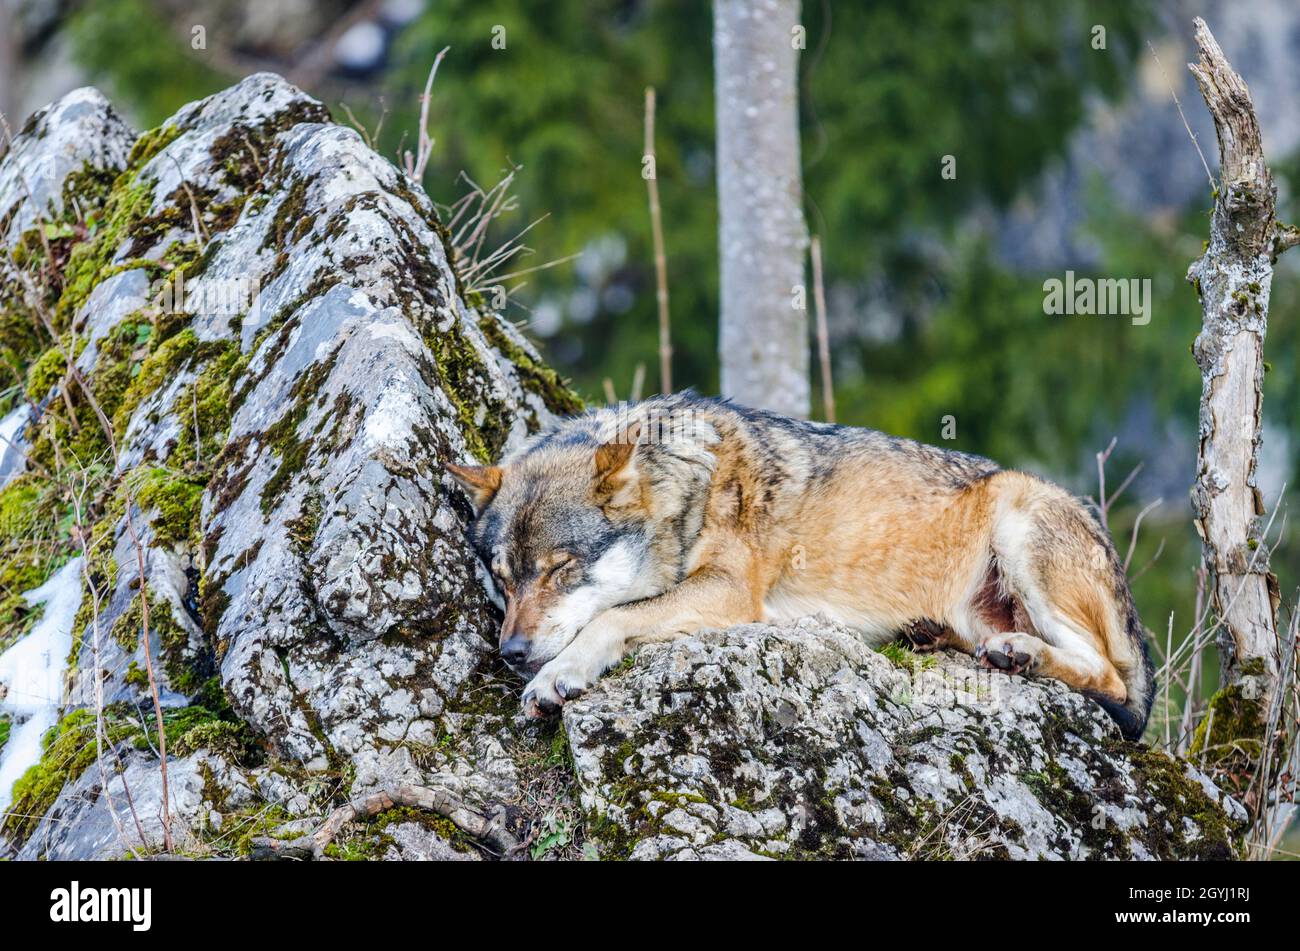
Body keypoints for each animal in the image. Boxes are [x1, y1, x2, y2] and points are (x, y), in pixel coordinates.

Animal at [449, 394, 1155, 740]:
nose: (510, 652)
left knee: (1111, 681)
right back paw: (937, 636)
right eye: (503, 578)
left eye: (560, 570)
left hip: (1019, 513)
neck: (689, 484)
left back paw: (1022, 656)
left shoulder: (729, 592)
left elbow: (610, 619)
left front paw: (555, 678)